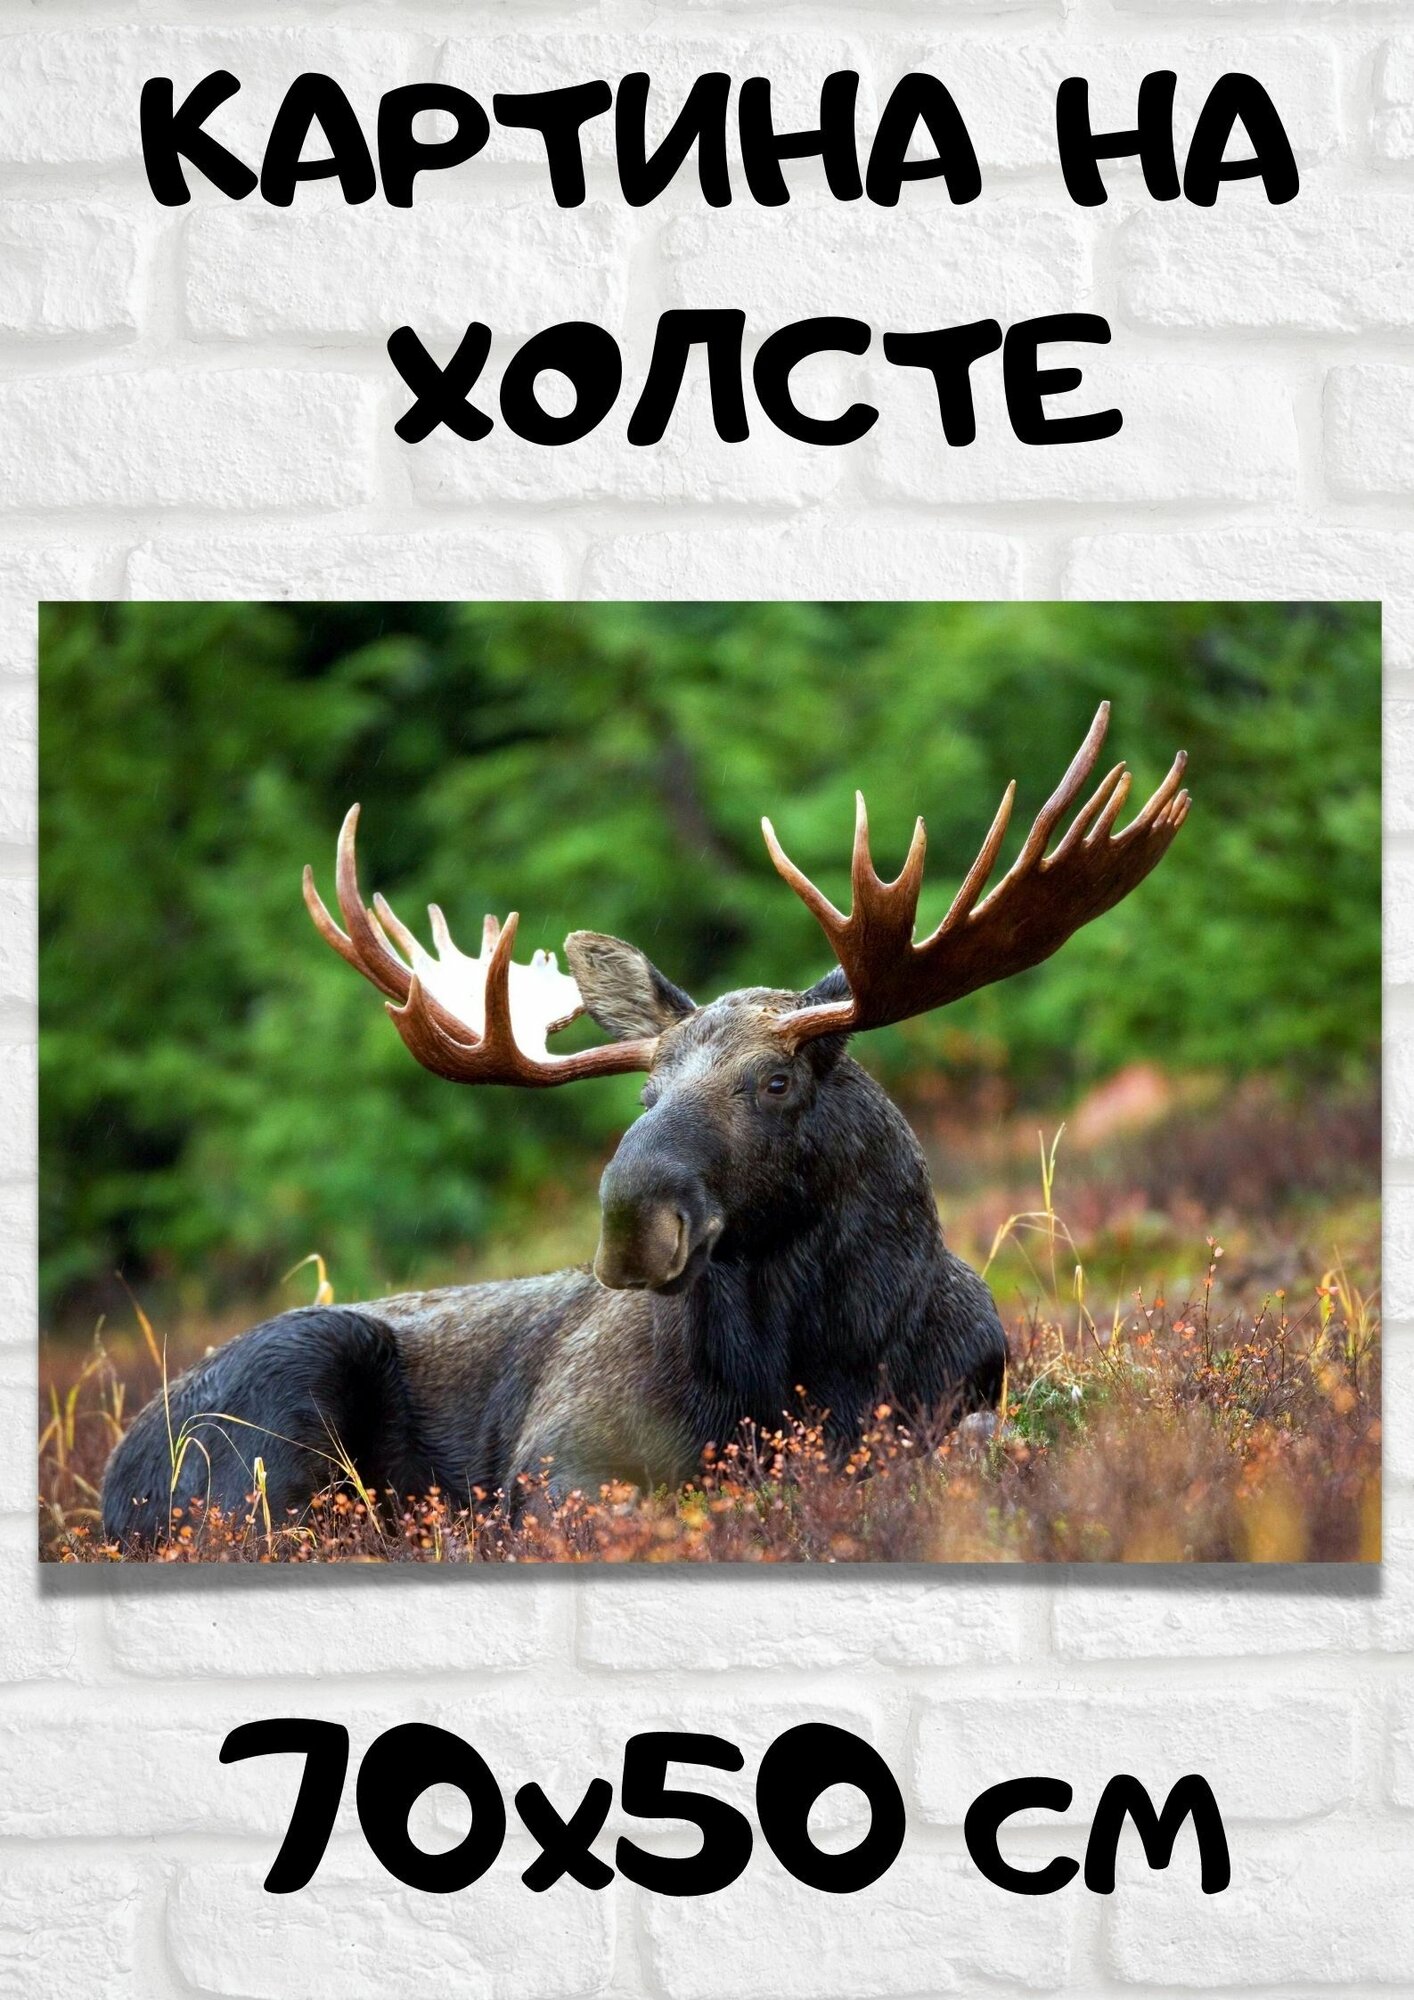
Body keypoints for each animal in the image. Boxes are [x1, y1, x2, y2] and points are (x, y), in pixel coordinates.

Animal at [101, 704, 1188, 1545]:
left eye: (775, 1080)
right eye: (644, 1094)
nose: (632, 1220)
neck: (816, 1360)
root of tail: (112, 1482)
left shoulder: (962, 1401)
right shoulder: (559, 1457)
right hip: (275, 1414)